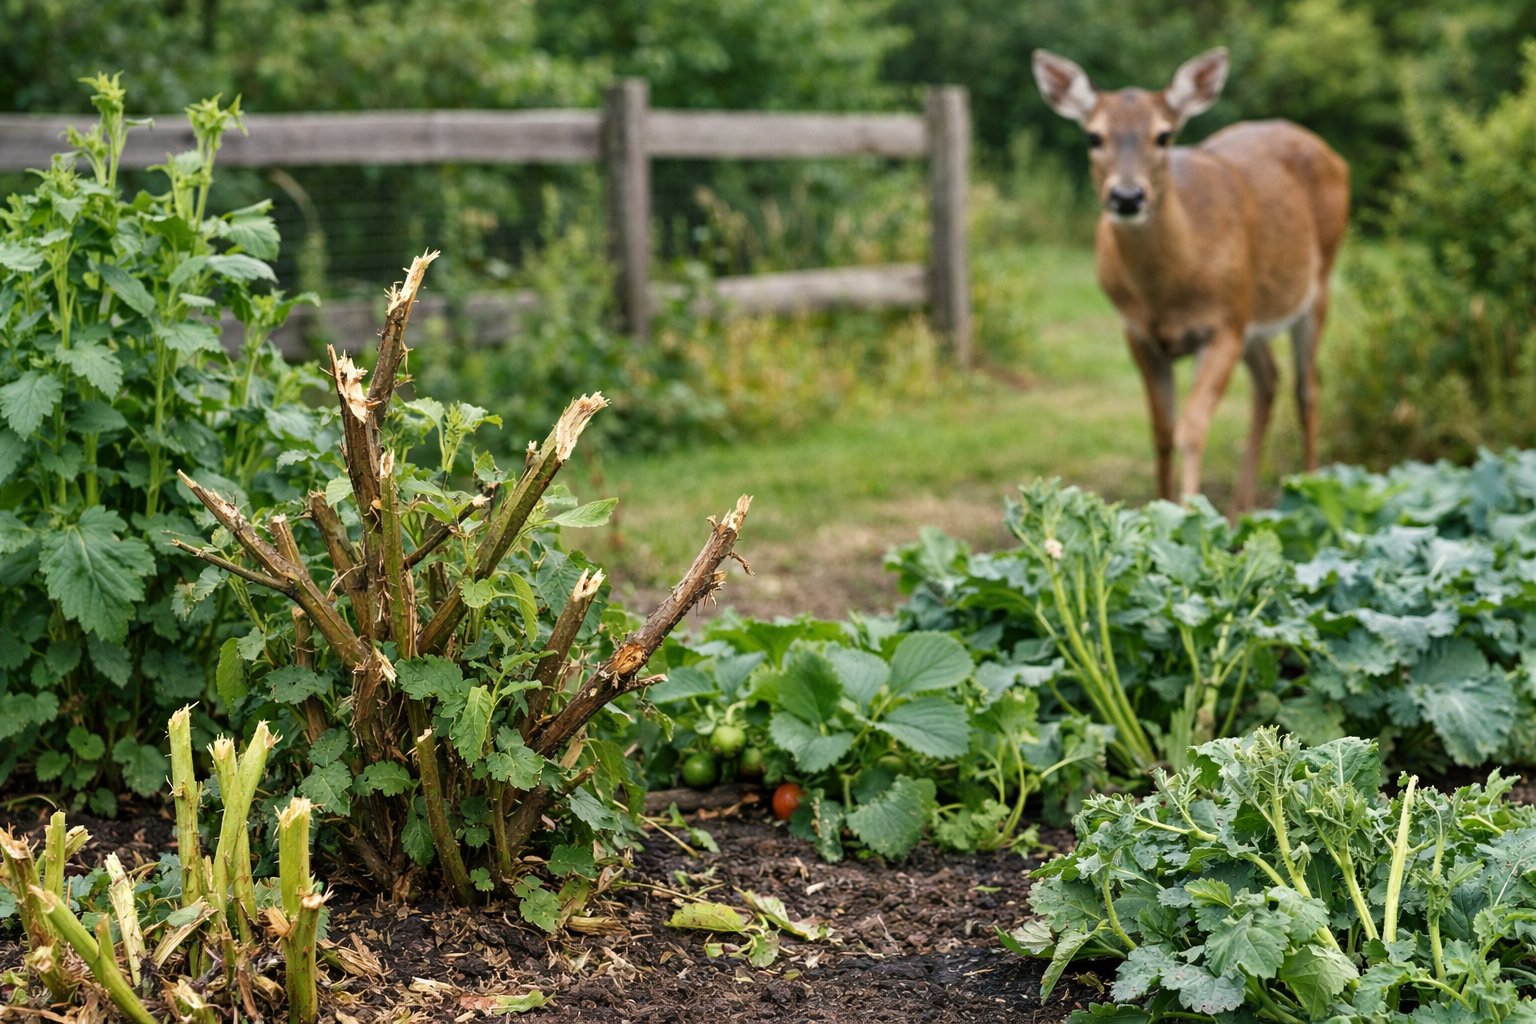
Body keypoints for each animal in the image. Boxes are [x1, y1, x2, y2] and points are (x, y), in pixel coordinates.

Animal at [1032, 48, 1349, 512]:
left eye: (1164, 135)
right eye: (1094, 136)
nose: (1127, 197)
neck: (1166, 293)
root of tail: (1327, 150)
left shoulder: (1222, 326)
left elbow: (1193, 429)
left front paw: (1187, 515)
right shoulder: (1138, 334)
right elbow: (1162, 431)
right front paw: (1159, 510)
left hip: (1315, 283)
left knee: (1307, 388)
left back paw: (1312, 490)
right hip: (1253, 314)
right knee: (1268, 381)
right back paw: (1239, 509)